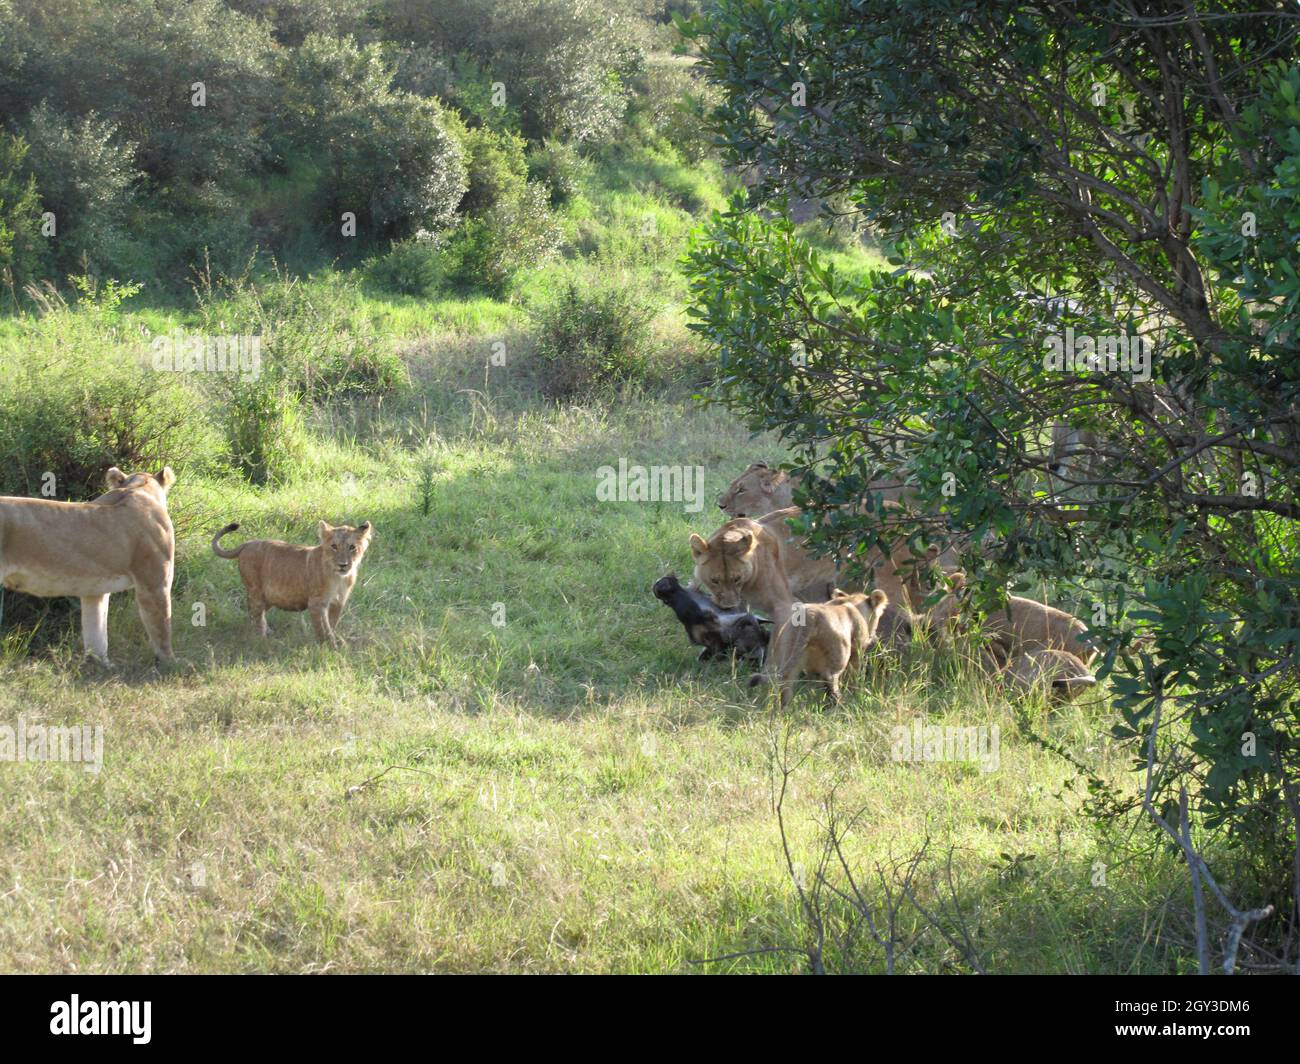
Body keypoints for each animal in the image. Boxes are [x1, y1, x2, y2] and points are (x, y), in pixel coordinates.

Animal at [0, 466, 177, 665]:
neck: (137, 488)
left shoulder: (95, 592)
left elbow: (96, 631)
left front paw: (101, 664)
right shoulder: (155, 583)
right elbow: (162, 627)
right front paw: (171, 663)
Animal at [213, 520, 373, 648]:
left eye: (352, 547)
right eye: (334, 546)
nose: (343, 565)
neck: (340, 578)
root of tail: (247, 543)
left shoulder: (338, 603)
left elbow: (331, 625)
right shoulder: (317, 603)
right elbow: (324, 629)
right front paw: (331, 649)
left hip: (269, 597)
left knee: (253, 613)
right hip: (255, 590)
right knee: (256, 616)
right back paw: (261, 639)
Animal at [753, 589, 889, 707]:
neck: (852, 603)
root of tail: (809, 617)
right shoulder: (857, 650)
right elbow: (854, 675)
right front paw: (856, 694)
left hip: (791, 648)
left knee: (787, 679)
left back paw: (785, 708)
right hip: (840, 651)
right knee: (830, 677)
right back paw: (839, 704)